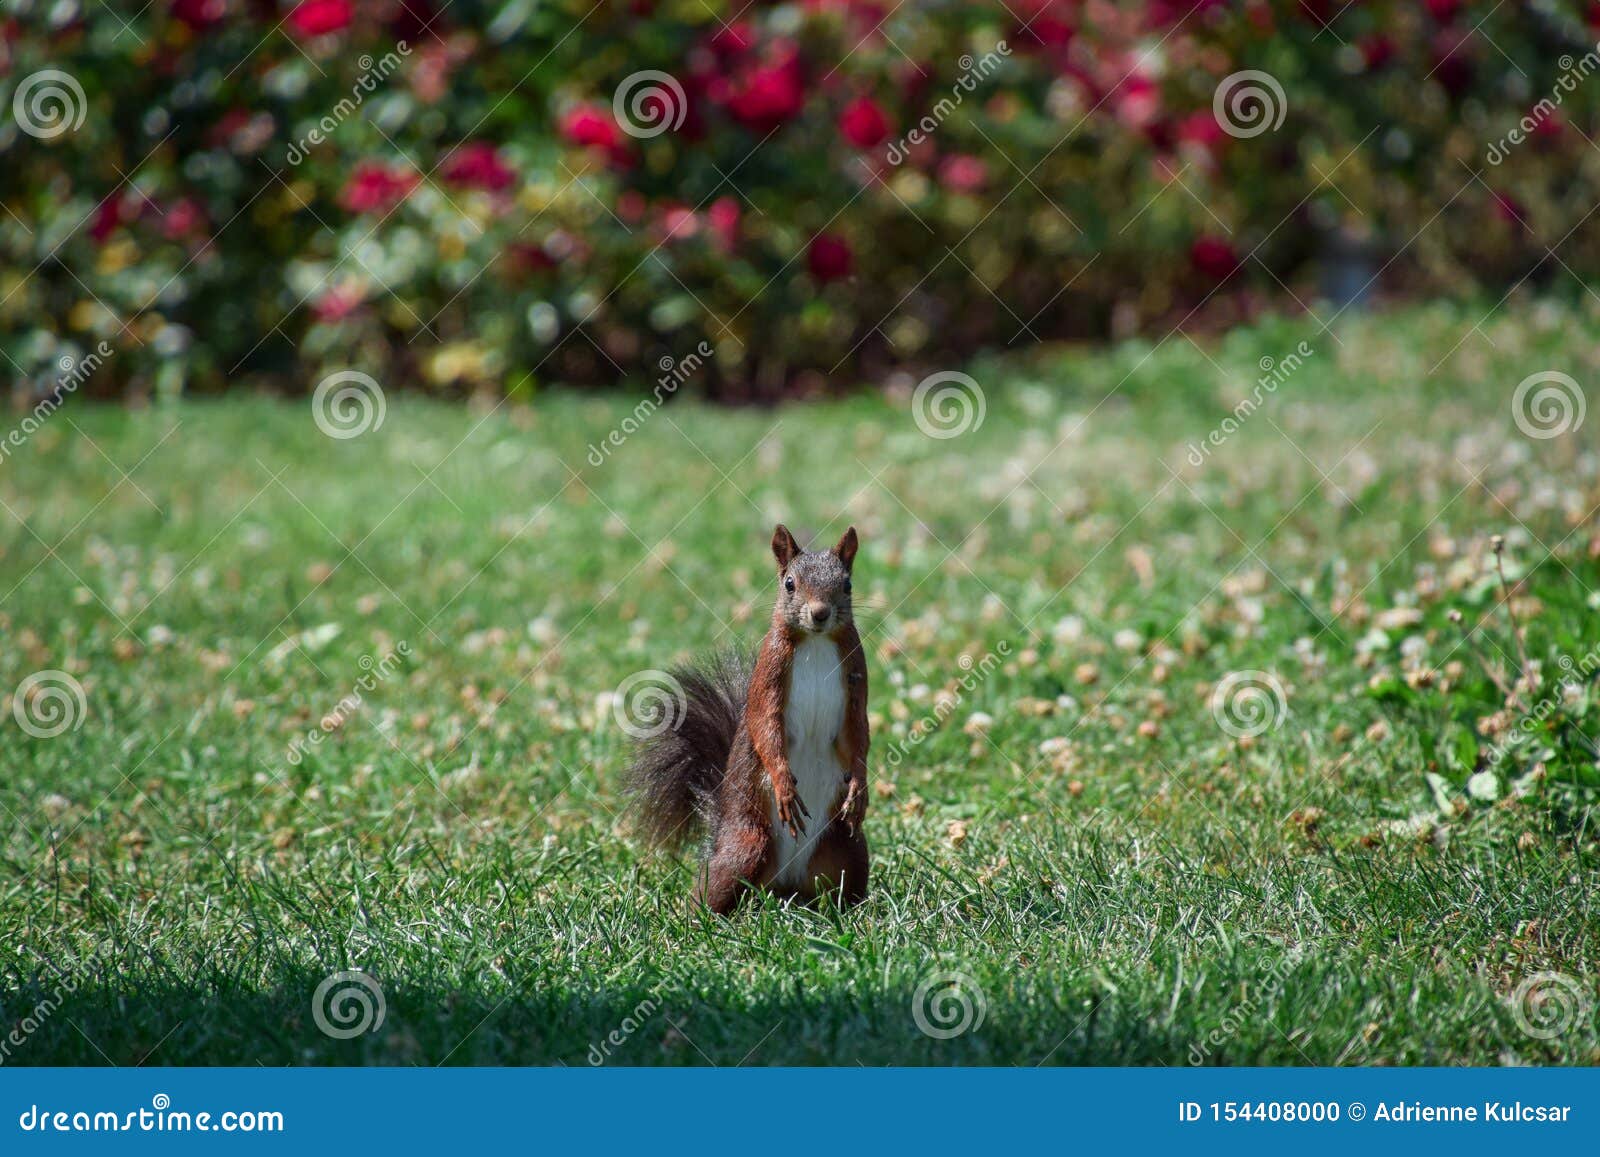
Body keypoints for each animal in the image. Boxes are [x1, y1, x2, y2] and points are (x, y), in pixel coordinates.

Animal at [626, 524, 869, 914]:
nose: (820, 613)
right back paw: (698, 915)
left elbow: (858, 735)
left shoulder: (856, 679)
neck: (816, 642)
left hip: (848, 848)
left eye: (847, 584)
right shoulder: (768, 676)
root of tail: (784, 885)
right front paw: (784, 786)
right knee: (713, 887)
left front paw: (859, 788)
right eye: (789, 583)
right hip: (748, 848)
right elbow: (765, 727)